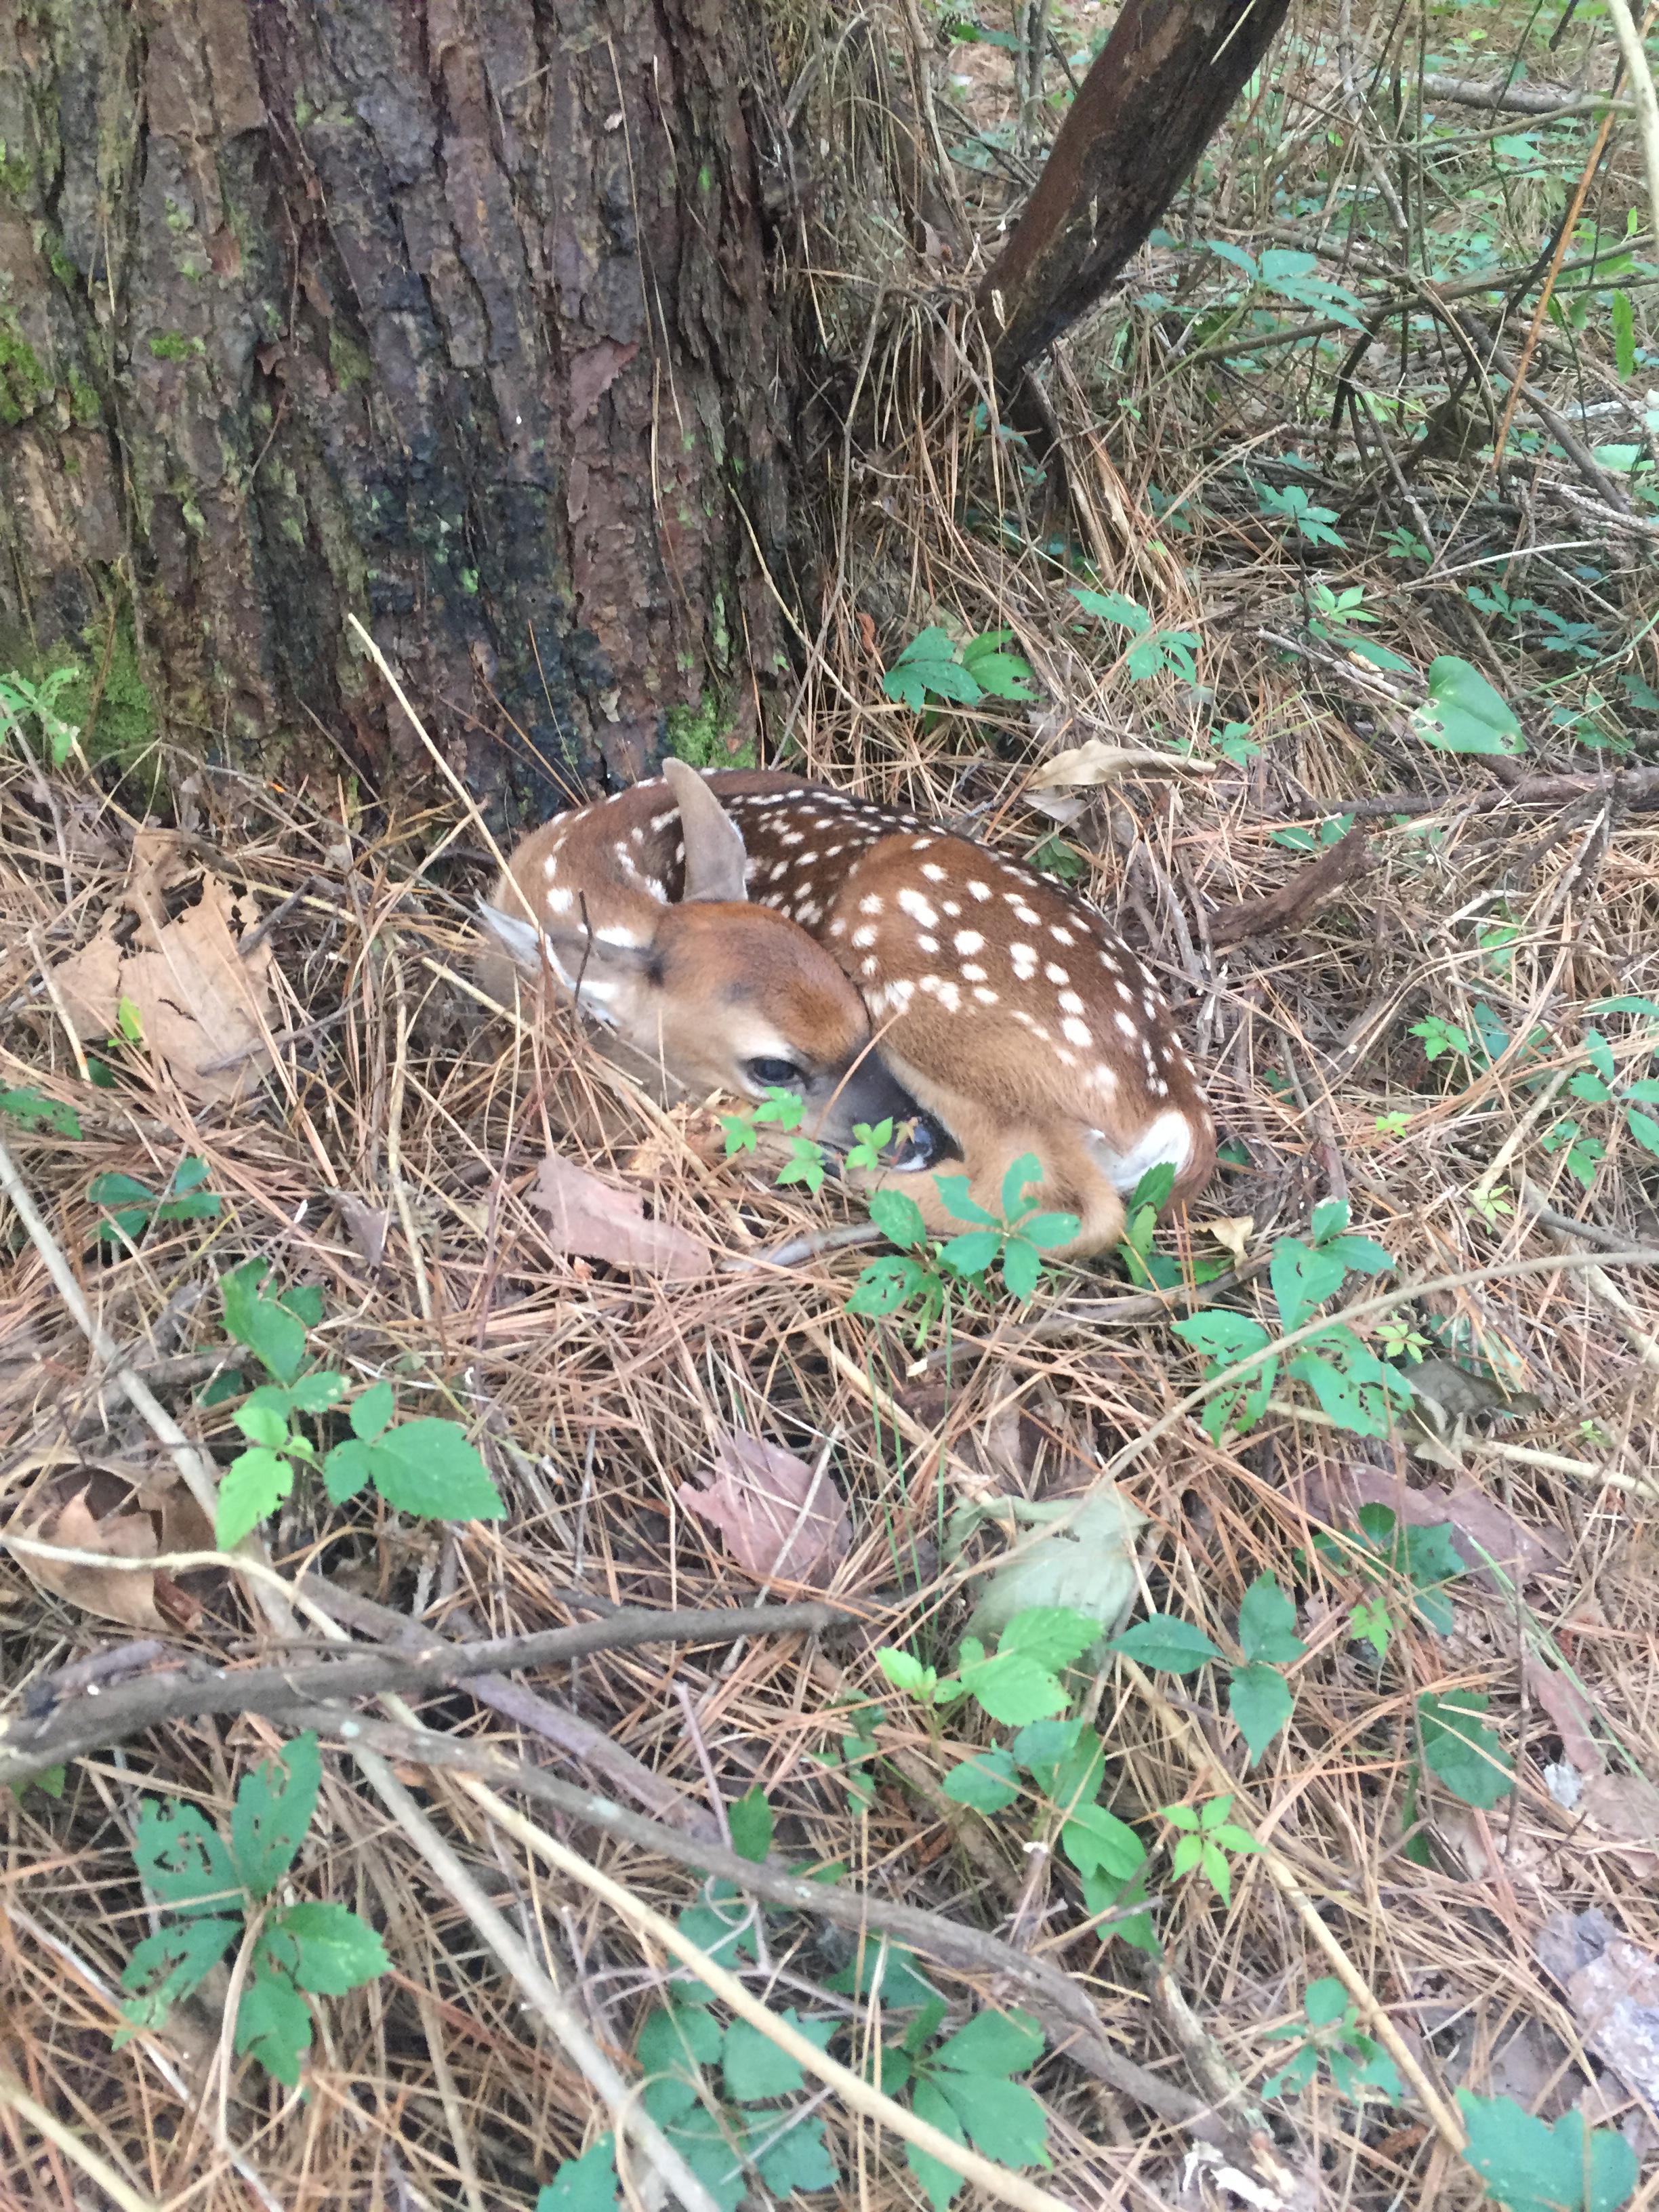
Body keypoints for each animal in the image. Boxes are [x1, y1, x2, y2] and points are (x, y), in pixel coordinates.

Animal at [478, 761, 1216, 1258]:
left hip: (921, 984)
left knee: (1053, 1196)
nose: (918, 1139)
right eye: (774, 1068)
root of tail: (1176, 1112)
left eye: (853, 1010)